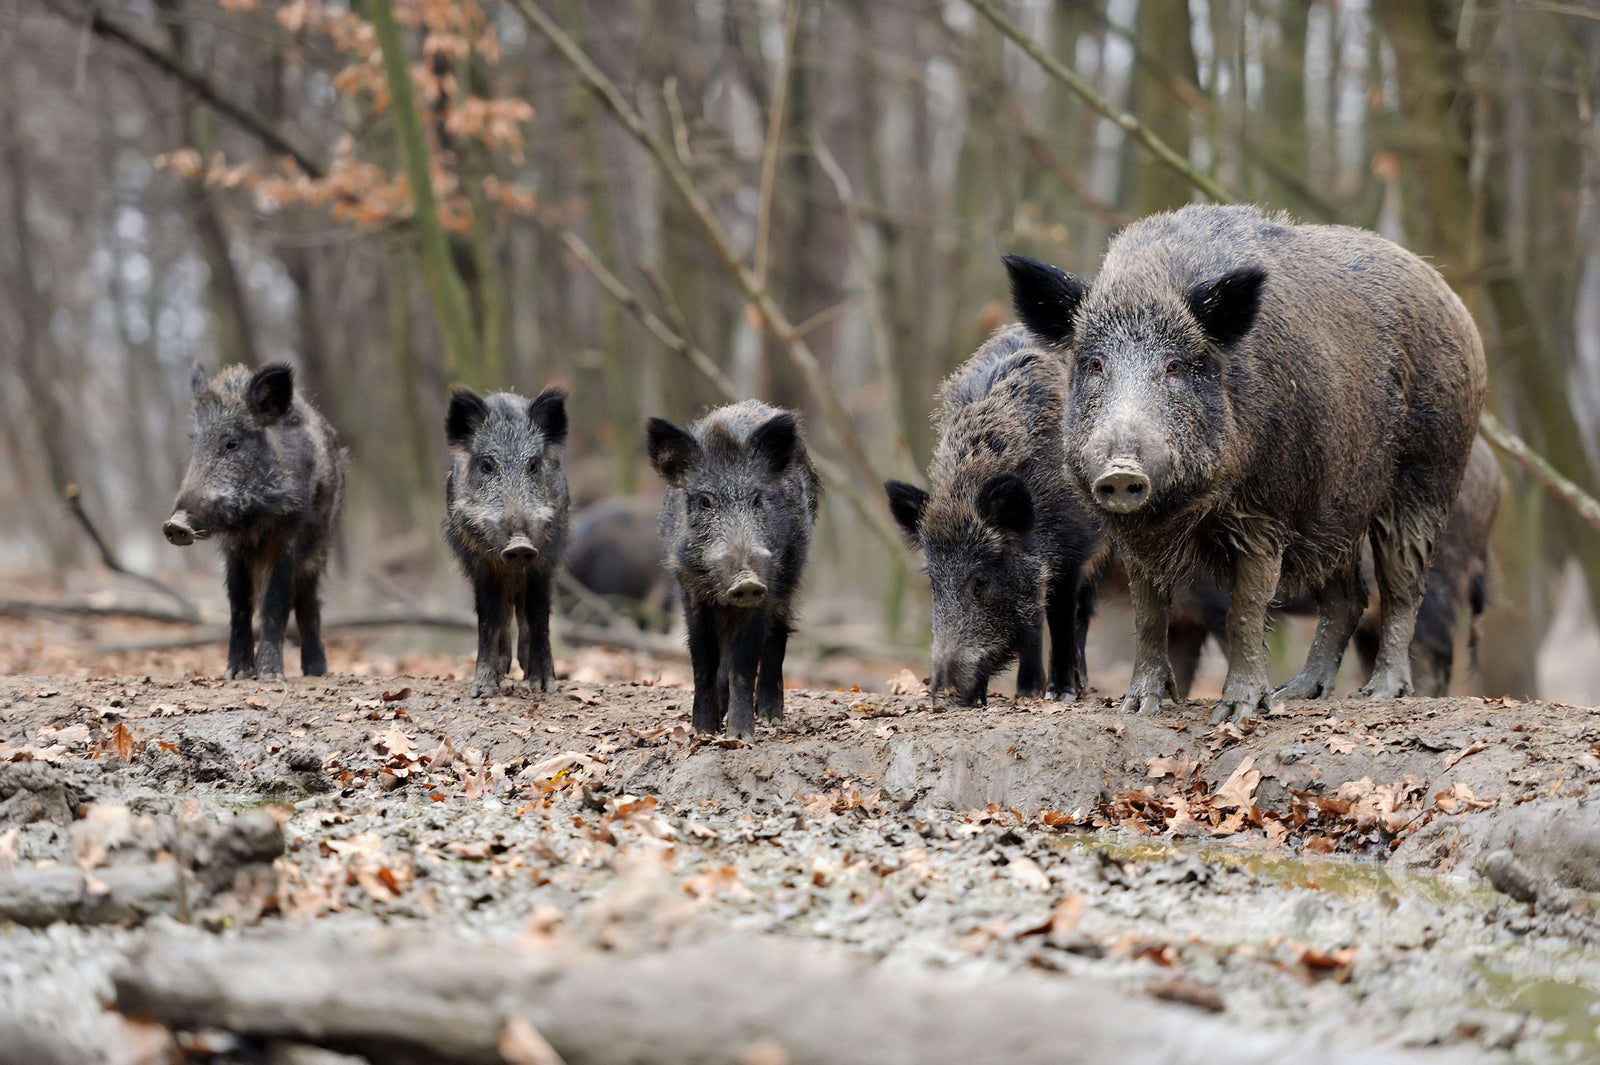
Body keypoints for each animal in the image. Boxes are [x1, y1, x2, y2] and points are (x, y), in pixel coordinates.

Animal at [163, 363, 346, 680]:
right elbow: (239, 603)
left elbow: (274, 603)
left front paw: (270, 676)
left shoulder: (287, 538)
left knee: (307, 600)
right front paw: (235, 674)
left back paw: (315, 671)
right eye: (195, 445)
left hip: (319, 547)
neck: (253, 522)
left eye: (231, 443)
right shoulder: (233, 549)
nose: (175, 524)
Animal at [444, 386, 570, 697]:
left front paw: (544, 686)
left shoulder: (544, 558)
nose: (520, 545)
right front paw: (483, 689)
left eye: (533, 465)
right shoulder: (480, 562)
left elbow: (538, 613)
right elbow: (488, 615)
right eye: (487, 465)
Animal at [647, 401, 820, 738]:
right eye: (705, 501)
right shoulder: (689, 590)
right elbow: (703, 661)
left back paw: (771, 717)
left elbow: (743, 663)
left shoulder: (766, 589)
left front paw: (740, 736)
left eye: (756, 499)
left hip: (790, 574)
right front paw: (703, 731)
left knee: (777, 635)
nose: (746, 581)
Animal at [884, 325, 1104, 705]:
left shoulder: (1073, 548)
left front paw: (1060, 693)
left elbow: (1060, 614)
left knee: (1080, 611)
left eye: (981, 581)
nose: (942, 694)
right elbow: (1033, 619)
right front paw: (1019, 693)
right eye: (933, 582)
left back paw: (1075, 687)